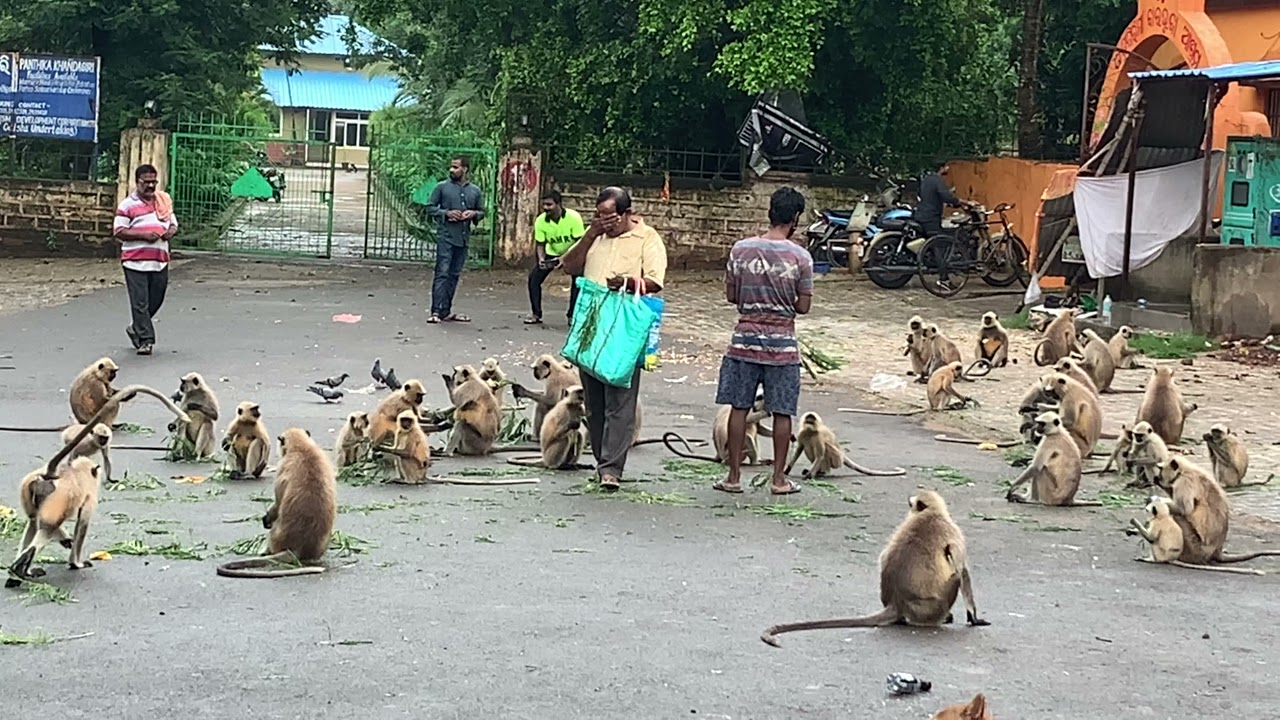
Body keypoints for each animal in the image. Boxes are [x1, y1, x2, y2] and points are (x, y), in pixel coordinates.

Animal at [216, 428, 337, 578]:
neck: (303, 448)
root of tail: (297, 548)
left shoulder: (283, 467)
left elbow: (278, 502)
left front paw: (266, 519)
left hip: (276, 536)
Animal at [761, 489, 989, 646]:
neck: (930, 514)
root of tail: (897, 602)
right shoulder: (953, 531)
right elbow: (963, 572)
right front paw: (974, 618)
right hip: (930, 610)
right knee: (956, 577)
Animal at [1128, 496, 1262, 575]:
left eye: (1147, 510)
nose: (1145, 511)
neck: (1163, 516)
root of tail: (1172, 558)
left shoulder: (1156, 523)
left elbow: (1151, 538)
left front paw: (1134, 523)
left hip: (1161, 555)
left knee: (1154, 544)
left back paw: (1149, 559)